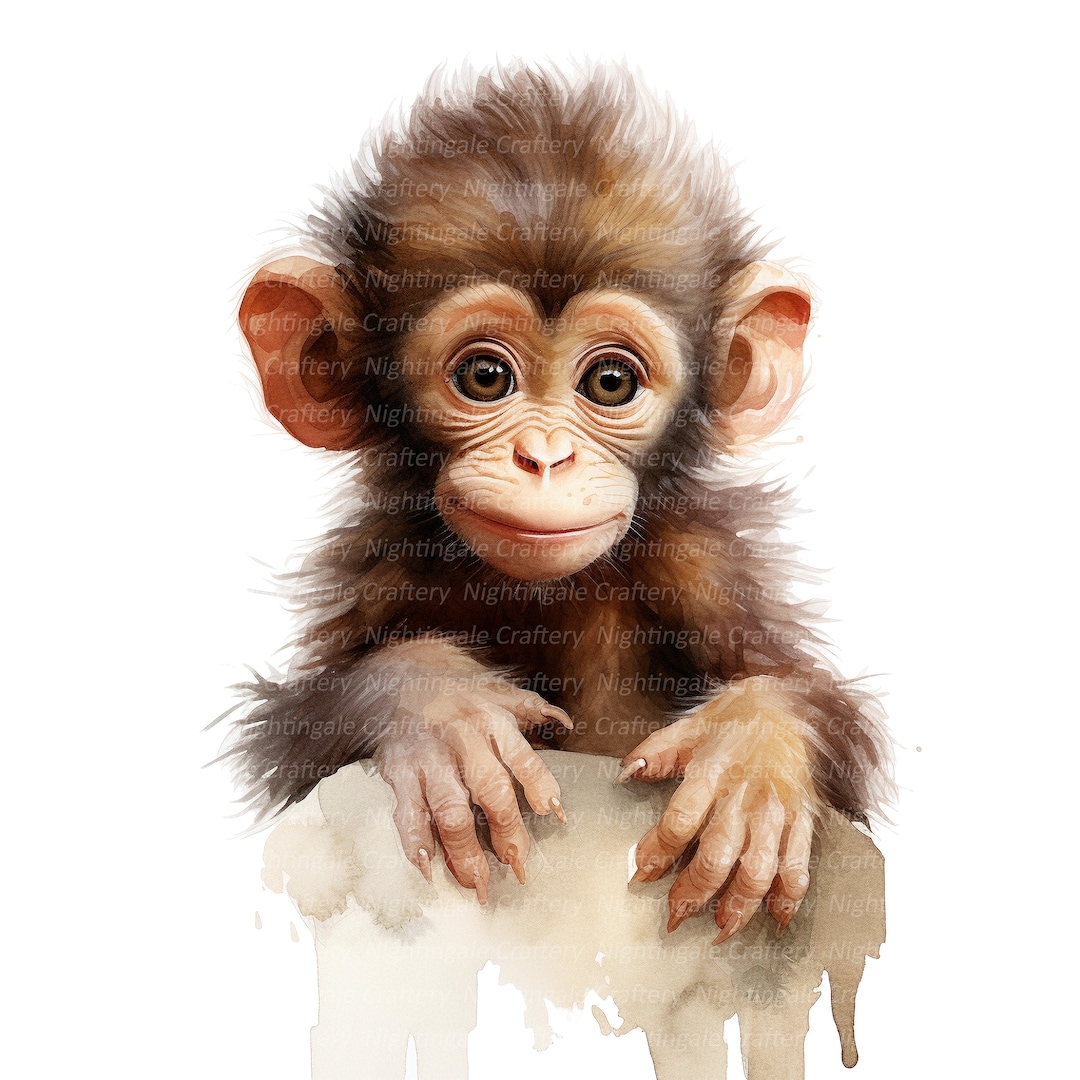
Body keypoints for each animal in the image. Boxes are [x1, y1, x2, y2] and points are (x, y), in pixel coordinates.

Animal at [225, 63, 892, 944]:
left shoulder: (700, 563)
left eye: (609, 382)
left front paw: (755, 752)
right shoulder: (381, 562)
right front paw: (434, 709)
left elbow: (811, 704)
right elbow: (287, 756)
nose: (544, 457)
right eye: (485, 377)